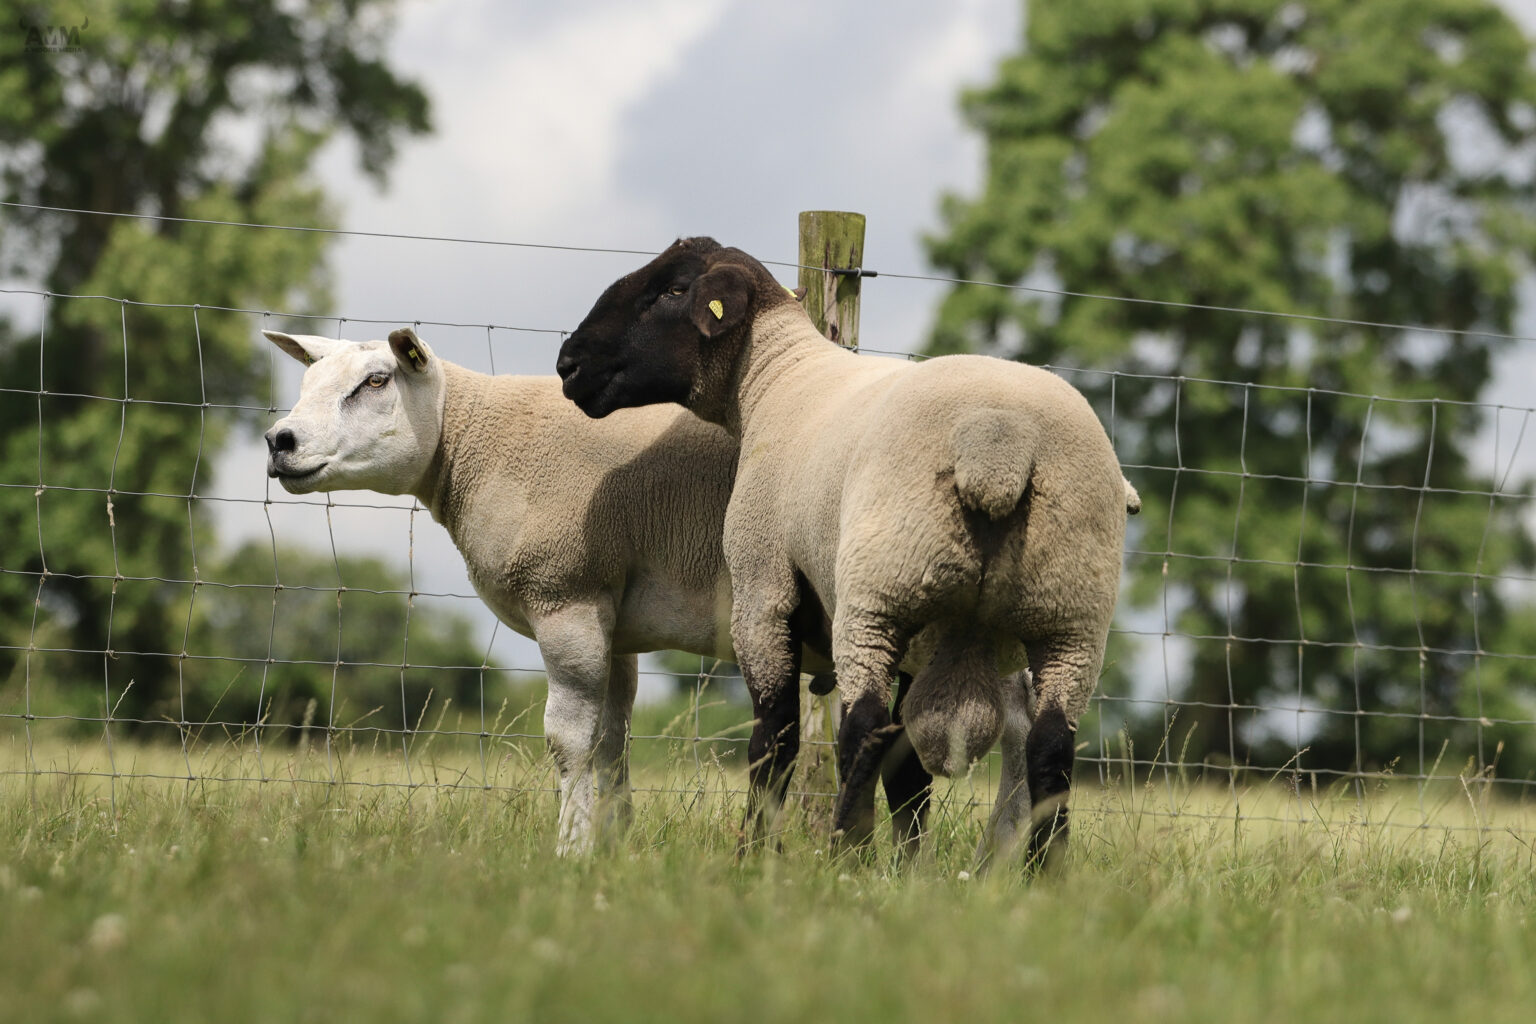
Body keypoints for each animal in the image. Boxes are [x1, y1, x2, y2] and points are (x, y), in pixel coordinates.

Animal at [261, 327, 931, 856]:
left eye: (377, 381)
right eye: (309, 379)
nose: (280, 441)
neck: (477, 445)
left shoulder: (568, 598)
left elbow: (569, 742)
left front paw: (571, 850)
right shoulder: (615, 625)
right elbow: (612, 742)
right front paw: (612, 846)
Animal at [556, 238, 1131, 868]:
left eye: (672, 290)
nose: (568, 366)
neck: (774, 379)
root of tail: (1000, 447)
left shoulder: (762, 585)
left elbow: (776, 738)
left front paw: (753, 853)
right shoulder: (923, 638)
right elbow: (909, 772)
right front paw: (909, 866)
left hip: (881, 590)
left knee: (864, 727)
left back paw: (843, 854)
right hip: (1068, 611)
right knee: (1050, 744)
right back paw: (1041, 874)